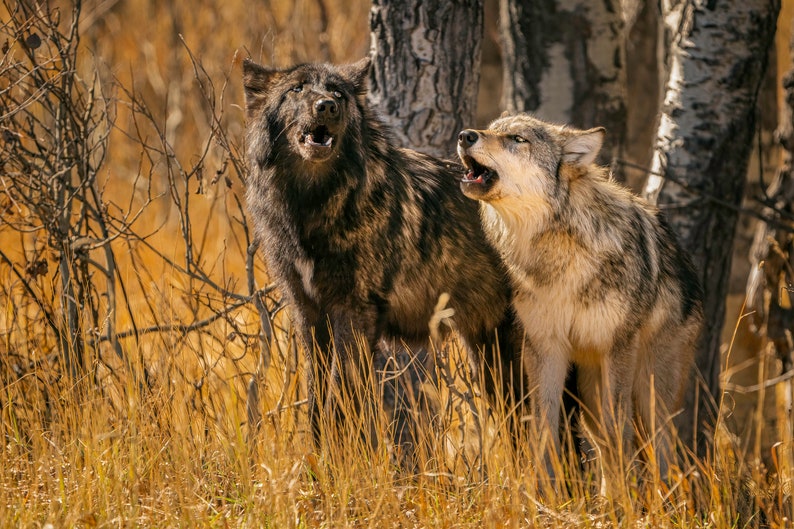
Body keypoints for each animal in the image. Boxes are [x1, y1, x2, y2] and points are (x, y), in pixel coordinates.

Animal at [242, 57, 525, 457]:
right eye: (296, 89)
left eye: (338, 92)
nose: (327, 106)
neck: (312, 206)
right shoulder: (308, 313)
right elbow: (317, 401)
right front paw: (318, 463)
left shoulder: (355, 312)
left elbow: (341, 399)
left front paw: (340, 463)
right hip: (489, 355)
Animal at [457, 114, 704, 488]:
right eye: (492, 127)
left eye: (517, 139)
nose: (464, 135)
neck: (560, 255)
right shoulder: (545, 347)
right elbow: (544, 425)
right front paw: (543, 491)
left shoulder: (618, 346)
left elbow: (619, 430)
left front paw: (625, 503)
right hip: (589, 397)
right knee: (604, 450)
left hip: (651, 394)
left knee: (662, 454)